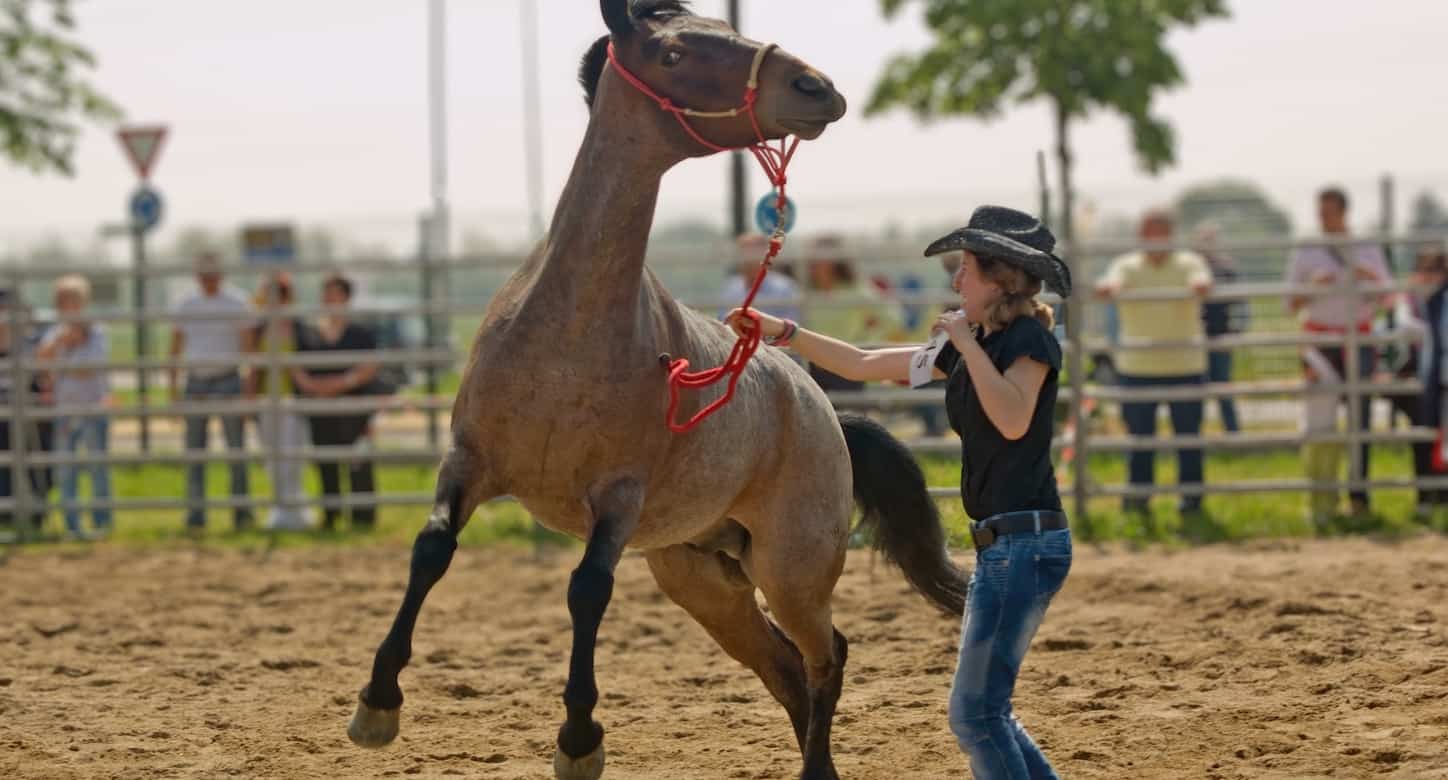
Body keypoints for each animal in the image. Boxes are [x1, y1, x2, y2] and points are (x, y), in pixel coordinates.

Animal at [347, 2, 967, 778]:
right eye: (673, 52)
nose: (816, 87)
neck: (568, 338)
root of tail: (826, 413)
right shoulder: (468, 462)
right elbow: (430, 550)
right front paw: (377, 703)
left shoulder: (618, 498)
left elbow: (588, 589)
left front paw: (579, 739)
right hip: (701, 577)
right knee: (786, 668)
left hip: (792, 569)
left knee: (826, 657)